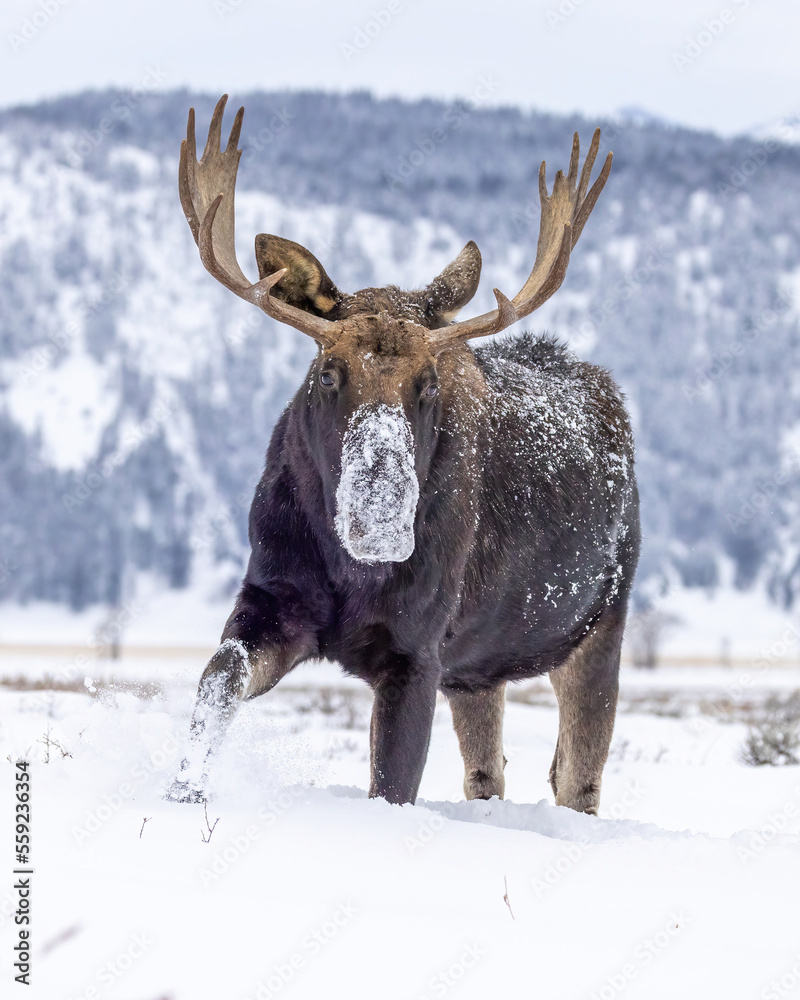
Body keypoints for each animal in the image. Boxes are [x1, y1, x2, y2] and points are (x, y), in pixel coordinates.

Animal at [165, 95, 640, 814]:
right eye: (328, 373)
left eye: (430, 383)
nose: (380, 517)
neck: (349, 575)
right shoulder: (273, 595)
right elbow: (217, 681)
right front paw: (181, 792)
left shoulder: (417, 650)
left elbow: (392, 785)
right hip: (479, 669)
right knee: (487, 772)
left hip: (598, 624)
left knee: (577, 776)